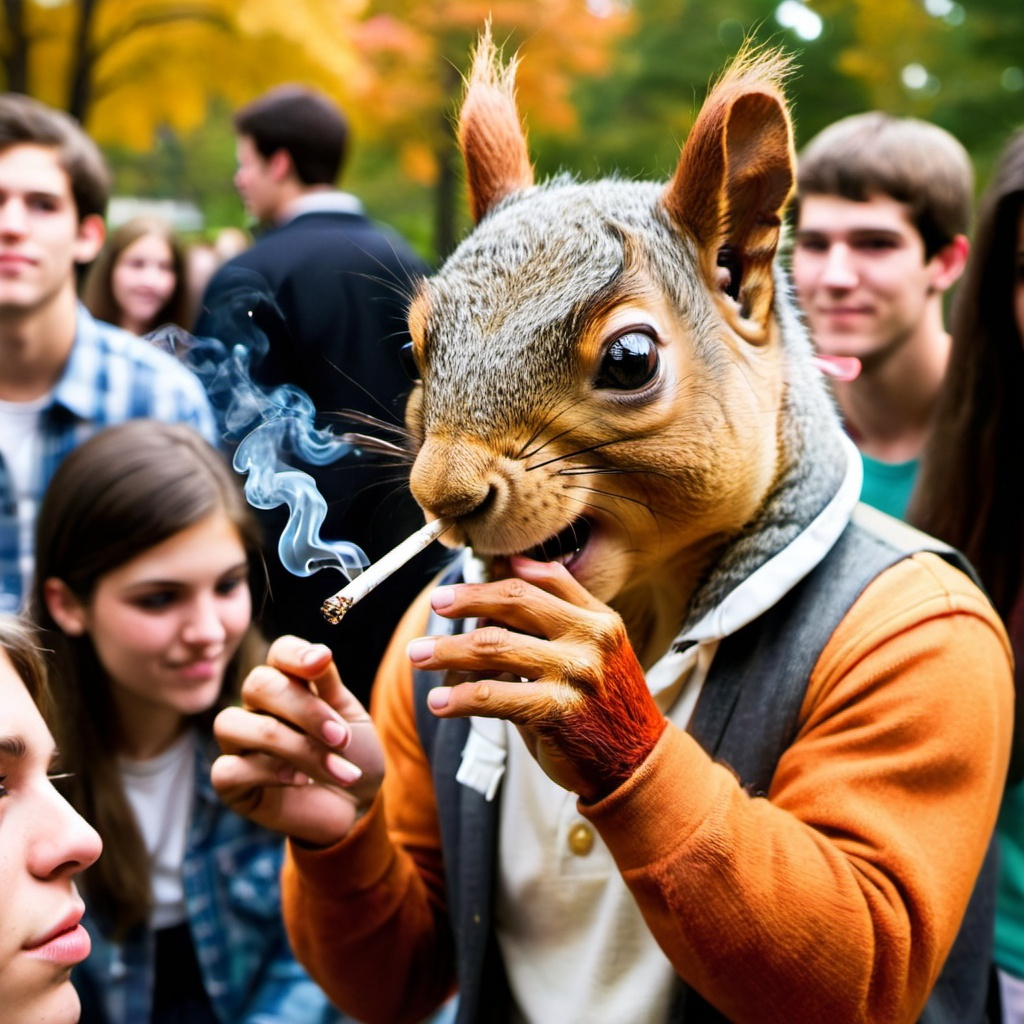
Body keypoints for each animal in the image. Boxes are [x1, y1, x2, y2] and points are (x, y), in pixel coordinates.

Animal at [212, 26, 1014, 1024]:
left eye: (632, 359)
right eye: (415, 346)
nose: (444, 494)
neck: (652, 605)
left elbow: (870, 944)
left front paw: (589, 698)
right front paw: (306, 754)